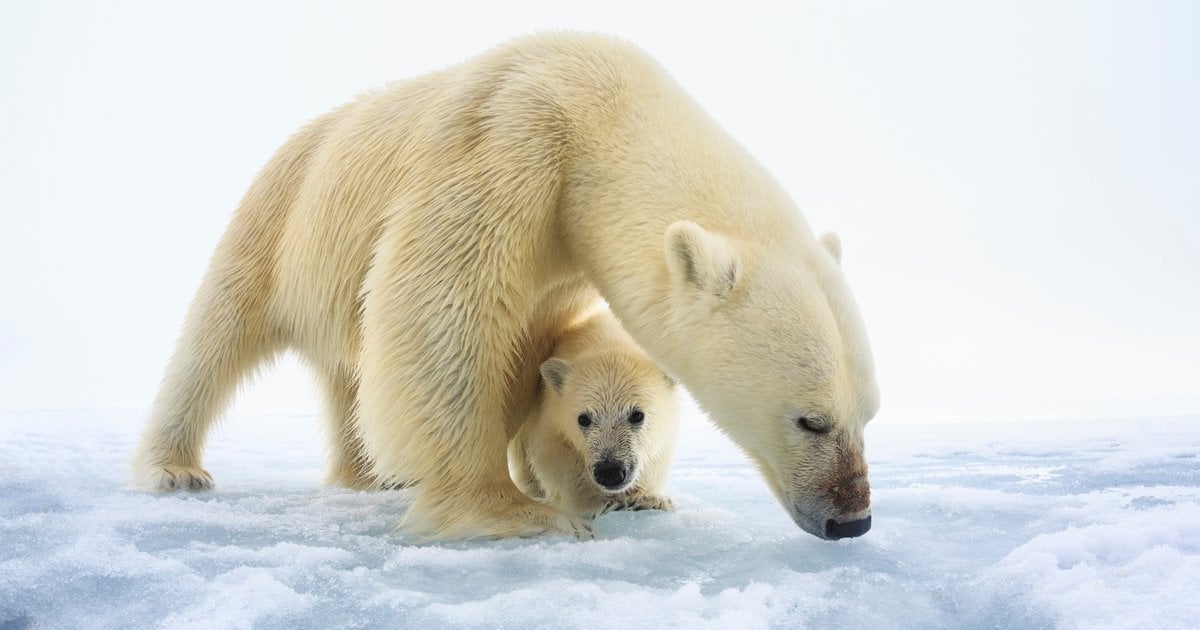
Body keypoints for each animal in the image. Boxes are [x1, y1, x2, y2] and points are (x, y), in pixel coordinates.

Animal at [509, 304, 679, 520]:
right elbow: (556, 458)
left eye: (637, 415)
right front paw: (602, 503)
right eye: (583, 419)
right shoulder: (552, 415)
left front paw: (650, 498)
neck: (608, 340)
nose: (610, 471)